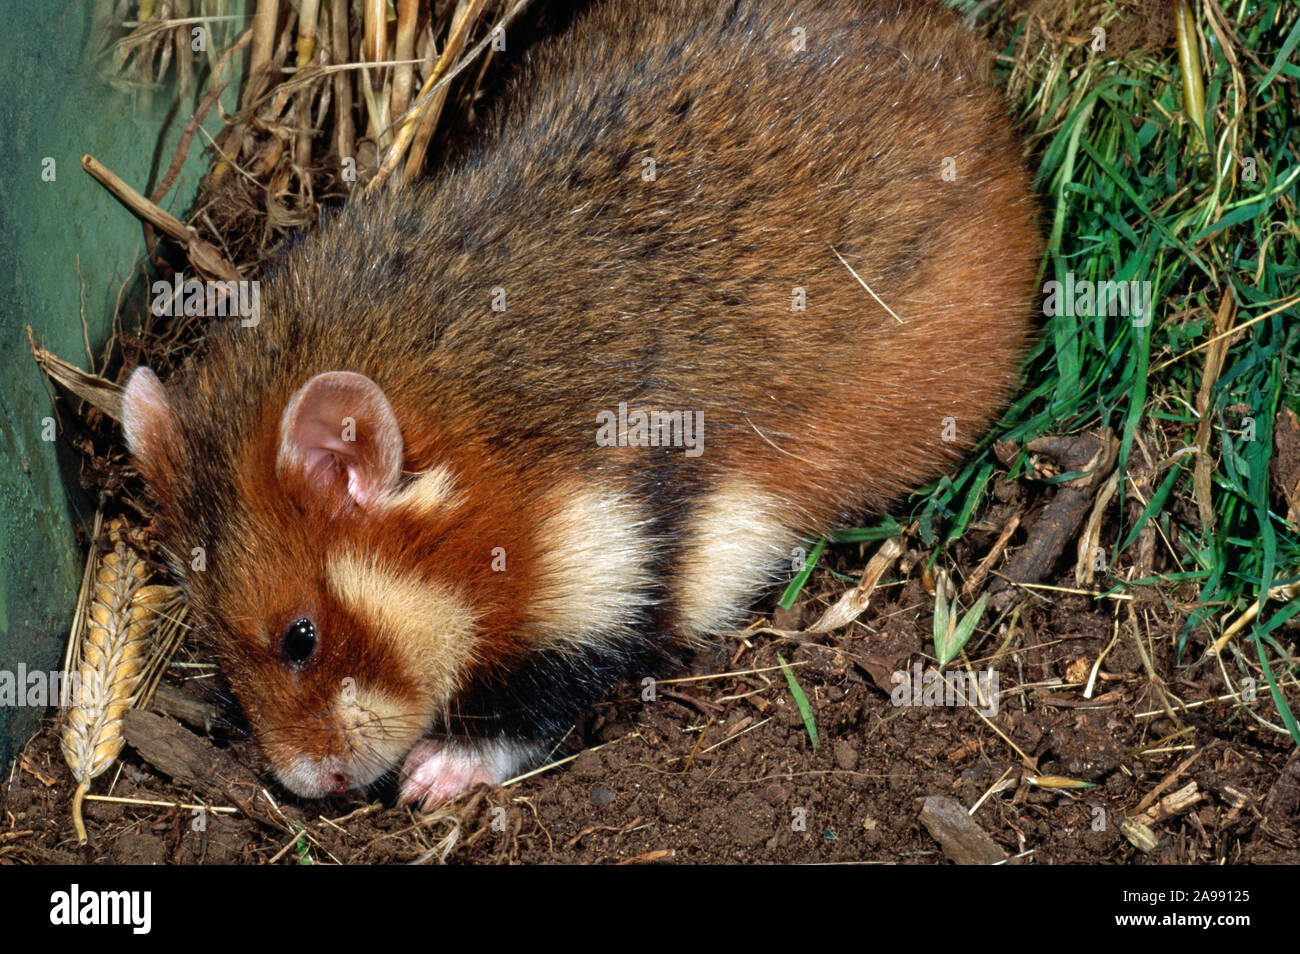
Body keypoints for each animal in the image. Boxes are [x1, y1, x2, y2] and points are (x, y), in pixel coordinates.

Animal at [121, 0, 1039, 806]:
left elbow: (552, 689)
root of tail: (959, 45)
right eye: (216, 645)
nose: (310, 788)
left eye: (300, 638)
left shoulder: (624, 557)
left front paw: (434, 774)